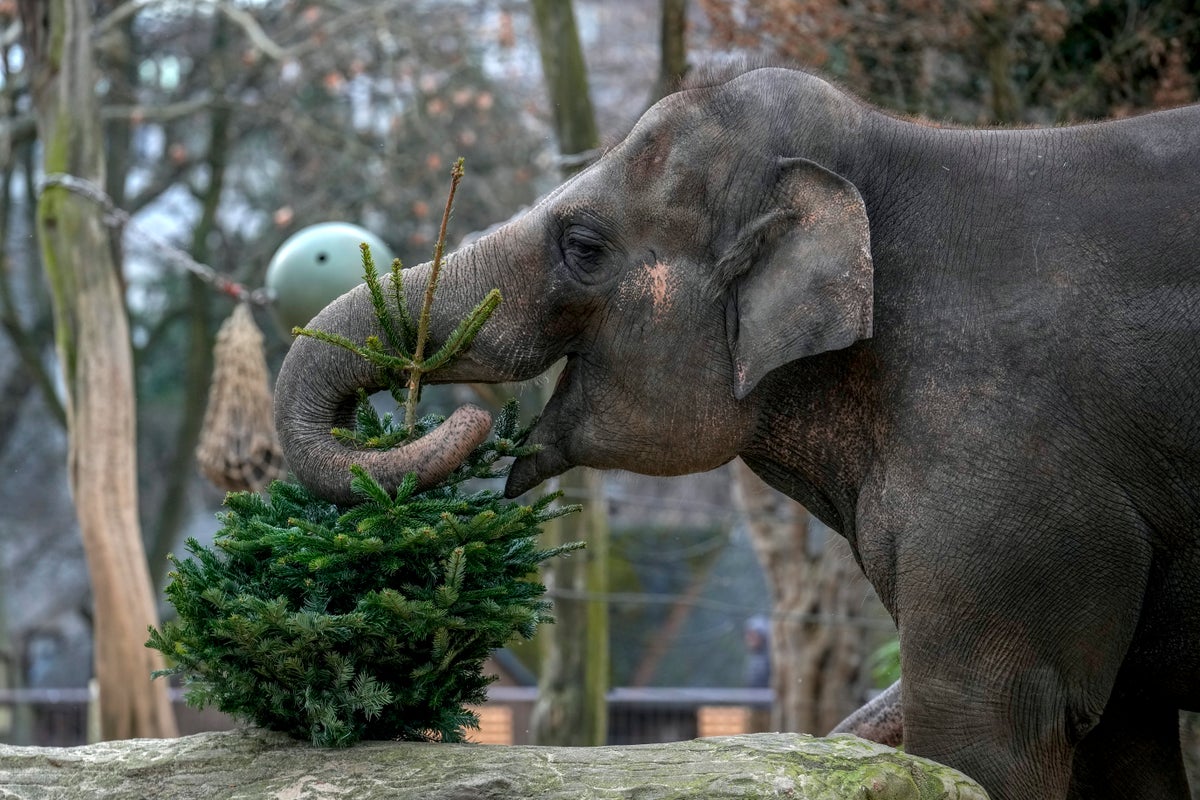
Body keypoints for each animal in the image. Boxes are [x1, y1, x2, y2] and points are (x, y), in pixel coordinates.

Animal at [273, 65, 1200, 800]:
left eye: (583, 245)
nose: (464, 418)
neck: (900, 148)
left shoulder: (1015, 473)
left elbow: (987, 728)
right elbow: (1121, 736)